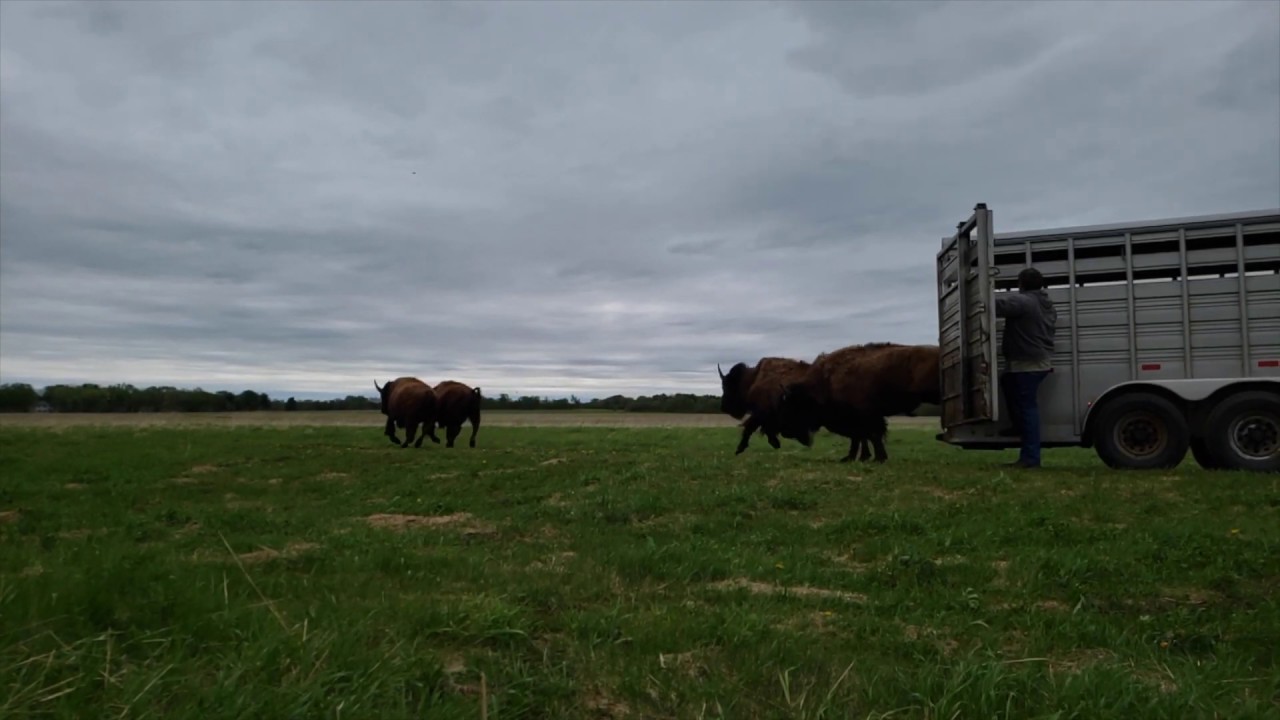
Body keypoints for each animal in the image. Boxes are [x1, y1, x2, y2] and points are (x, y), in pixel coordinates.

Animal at [776, 342, 941, 463]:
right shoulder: (858, 420)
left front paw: (877, 458)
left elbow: (870, 435)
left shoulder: (865, 416)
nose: (785, 432)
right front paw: (858, 457)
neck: (827, 379)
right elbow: (861, 437)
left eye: (793, 405)